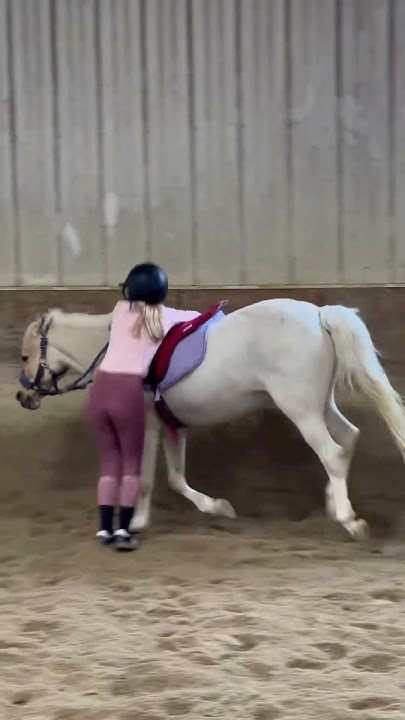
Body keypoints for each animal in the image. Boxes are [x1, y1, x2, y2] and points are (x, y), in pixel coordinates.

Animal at [16, 299, 405, 541]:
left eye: (25, 356)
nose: (23, 397)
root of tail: (320, 315)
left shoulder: (148, 425)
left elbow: (146, 480)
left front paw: (136, 524)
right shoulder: (172, 425)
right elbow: (176, 478)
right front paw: (218, 507)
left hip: (301, 409)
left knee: (332, 452)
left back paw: (350, 521)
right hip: (320, 404)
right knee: (349, 438)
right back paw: (333, 506)